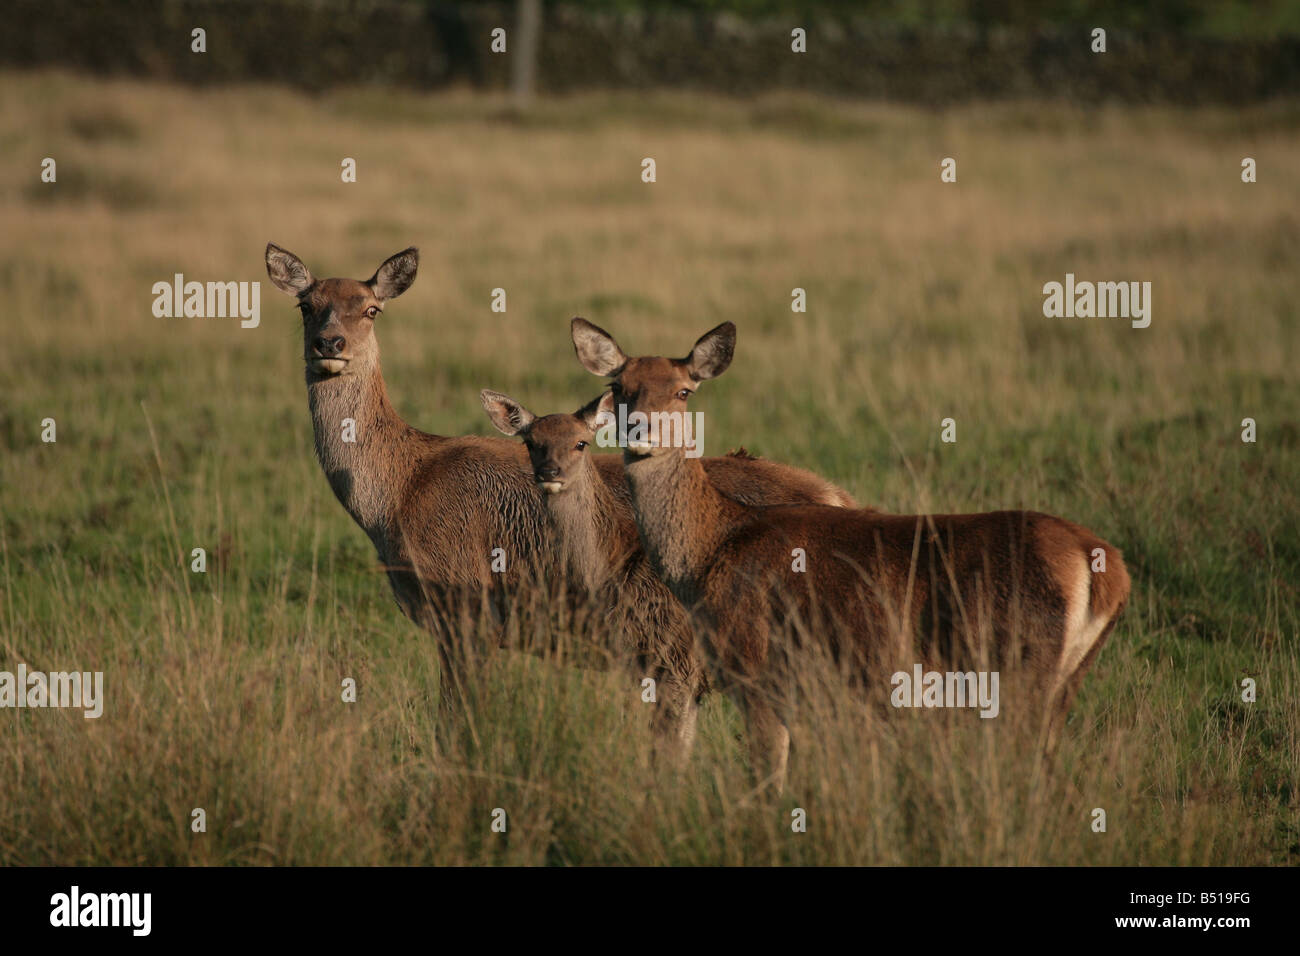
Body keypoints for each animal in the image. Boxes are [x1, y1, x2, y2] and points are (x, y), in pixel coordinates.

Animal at [263, 244, 856, 705]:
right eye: (305, 305)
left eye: (371, 308)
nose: (329, 344)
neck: (397, 496)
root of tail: (838, 496)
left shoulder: (467, 610)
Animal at [571, 317, 1131, 793]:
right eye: (620, 388)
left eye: (684, 390)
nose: (642, 431)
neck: (712, 547)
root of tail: (1104, 565)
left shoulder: (759, 671)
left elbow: (767, 779)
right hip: (1068, 677)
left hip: (1022, 669)